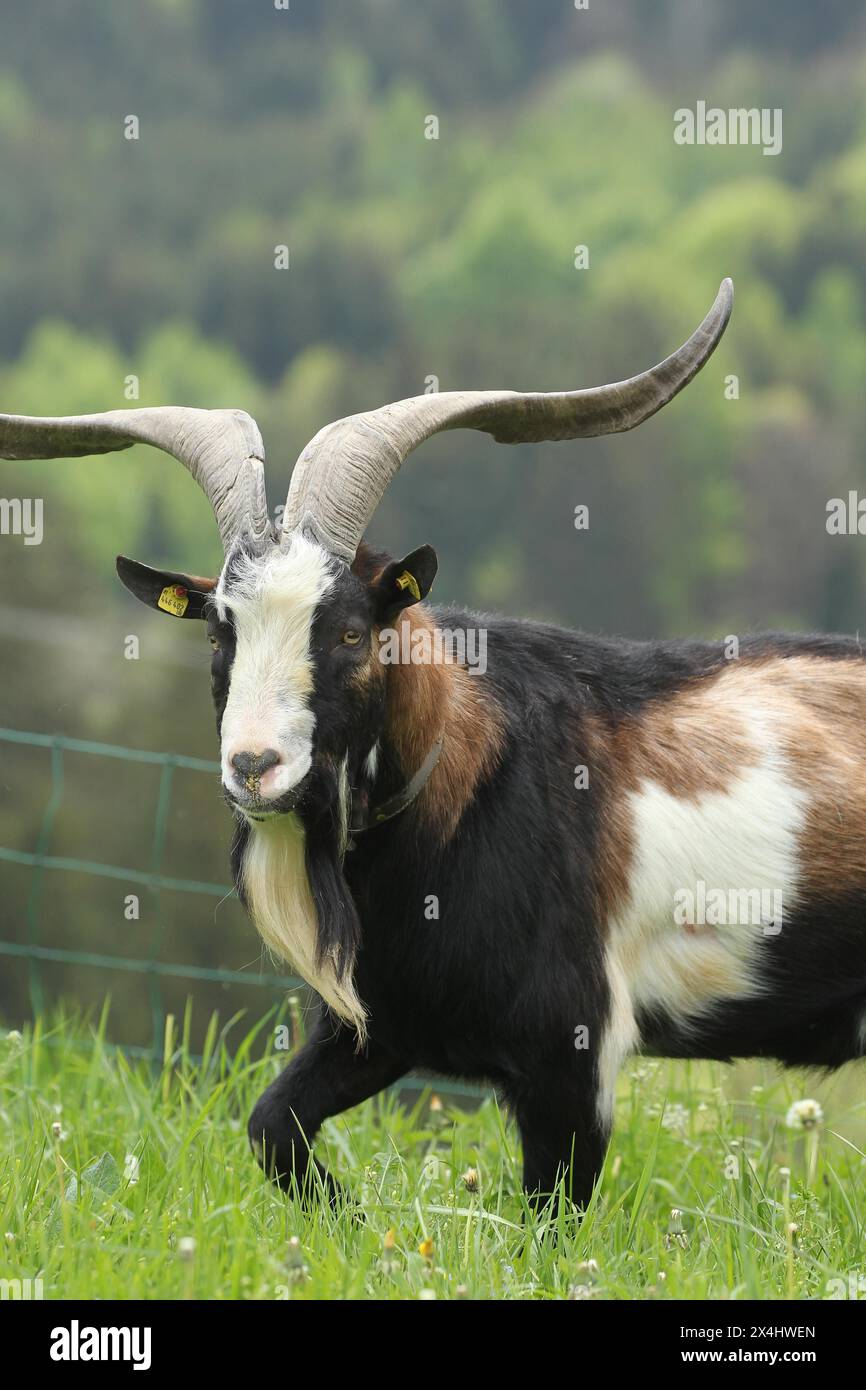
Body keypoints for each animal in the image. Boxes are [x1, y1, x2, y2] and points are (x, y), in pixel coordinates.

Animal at [7, 279, 859, 1210]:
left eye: (349, 631)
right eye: (217, 631)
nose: (254, 767)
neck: (472, 781)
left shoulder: (572, 1052)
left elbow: (548, 1218)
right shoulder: (386, 1026)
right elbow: (272, 1127)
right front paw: (350, 1218)